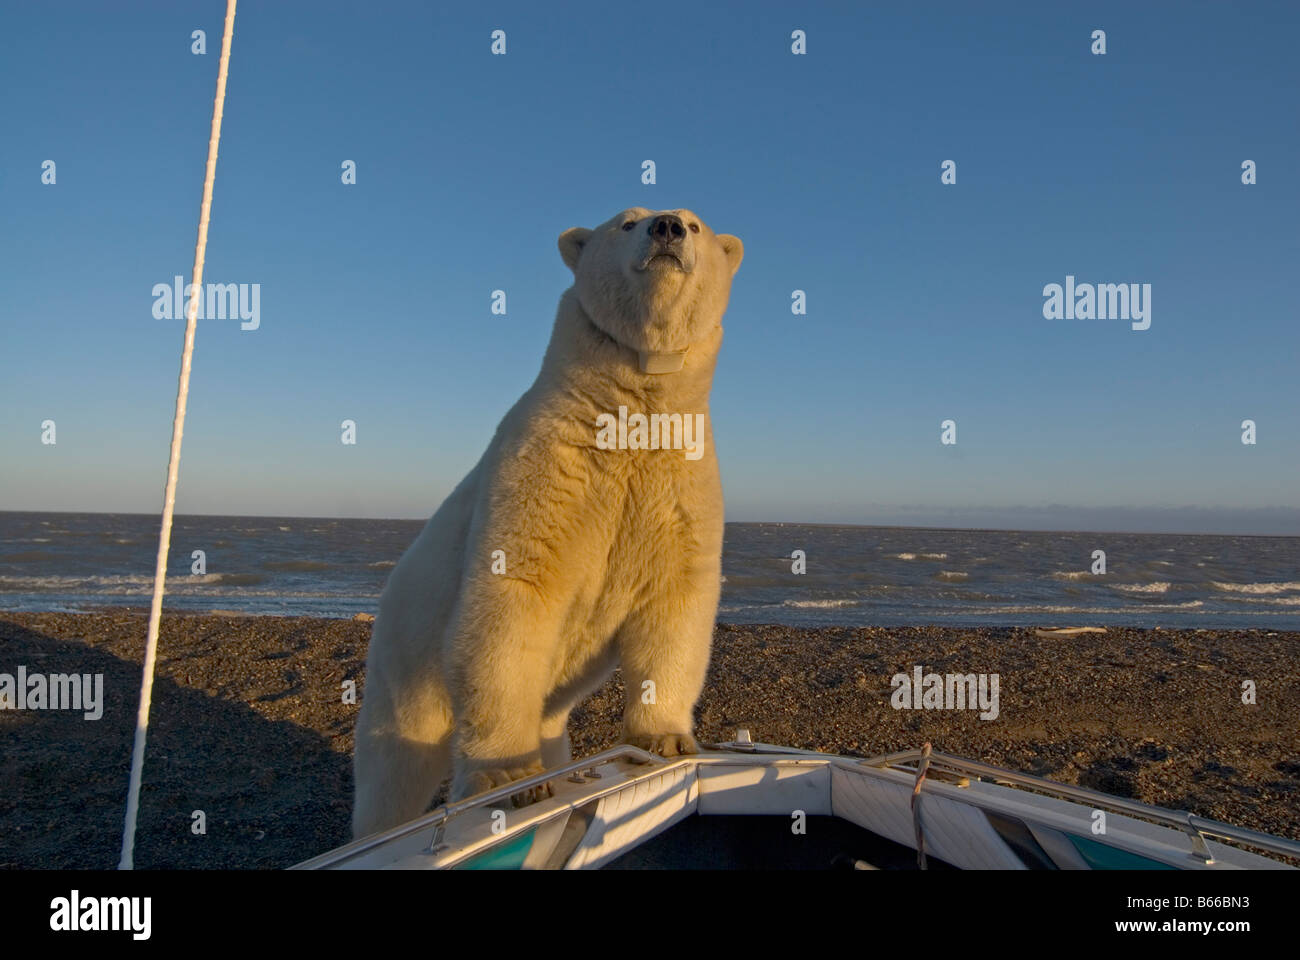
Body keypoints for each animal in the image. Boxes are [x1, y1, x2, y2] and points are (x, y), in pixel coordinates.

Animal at [351, 207, 743, 839]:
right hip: (404, 654)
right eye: (626, 222)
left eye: (696, 224)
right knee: (396, 764)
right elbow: (514, 592)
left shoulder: (680, 484)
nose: (665, 227)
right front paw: (509, 776)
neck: (629, 413)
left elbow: (675, 600)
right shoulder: (544, 465)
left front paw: (666, 737)